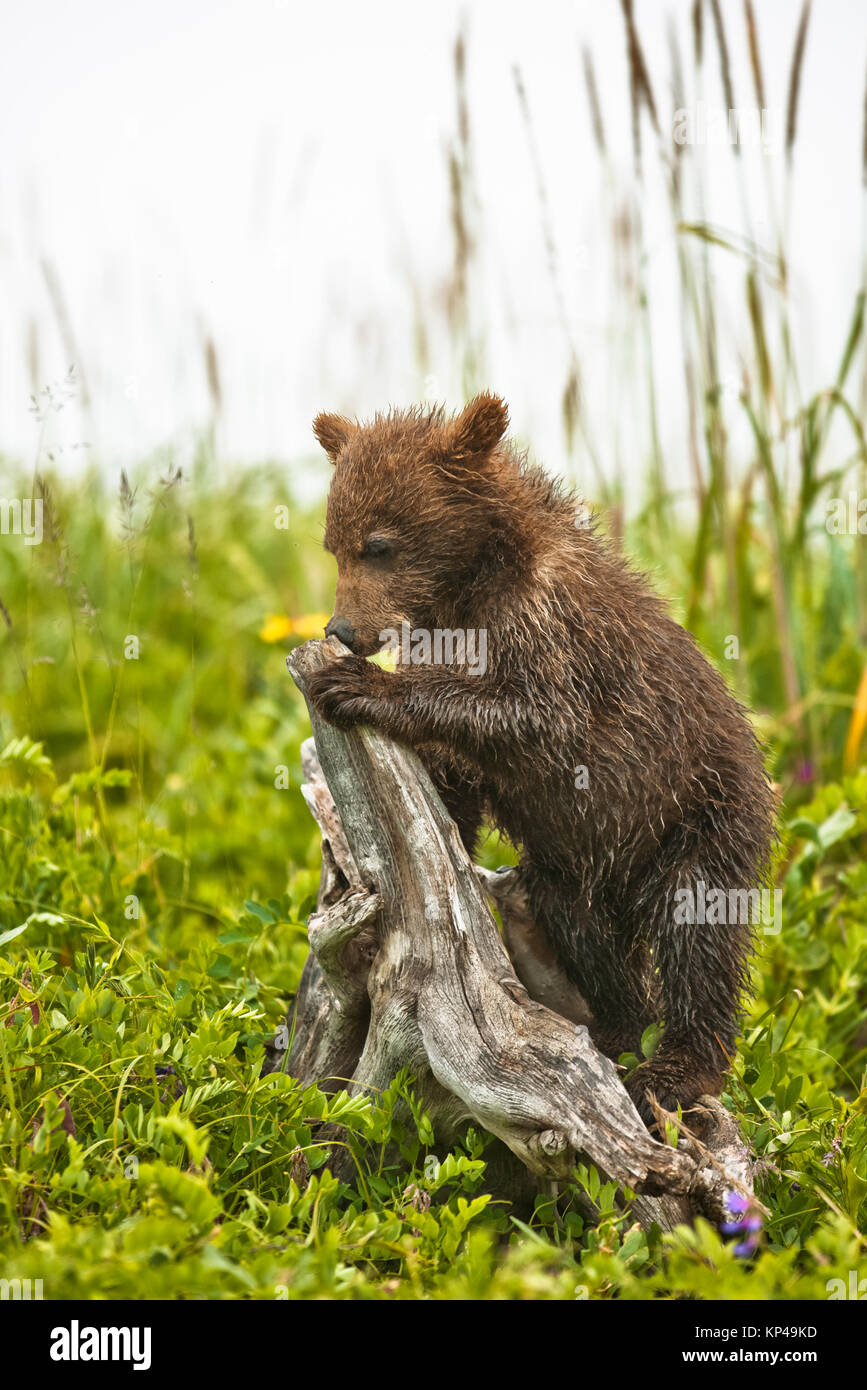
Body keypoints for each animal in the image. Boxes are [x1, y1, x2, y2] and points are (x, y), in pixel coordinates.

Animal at [305, 392, 778, 1126]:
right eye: (335, 546)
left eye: (378, 545)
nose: (344, 631)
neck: (471, 582)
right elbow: (457, 778)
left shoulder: (551, 632)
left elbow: (529, 717)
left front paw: (358, 686)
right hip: (579, 861)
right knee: (579, 921)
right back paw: (615, 1023)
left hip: (702, 813)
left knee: (696, 930)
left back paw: (677, 1067)